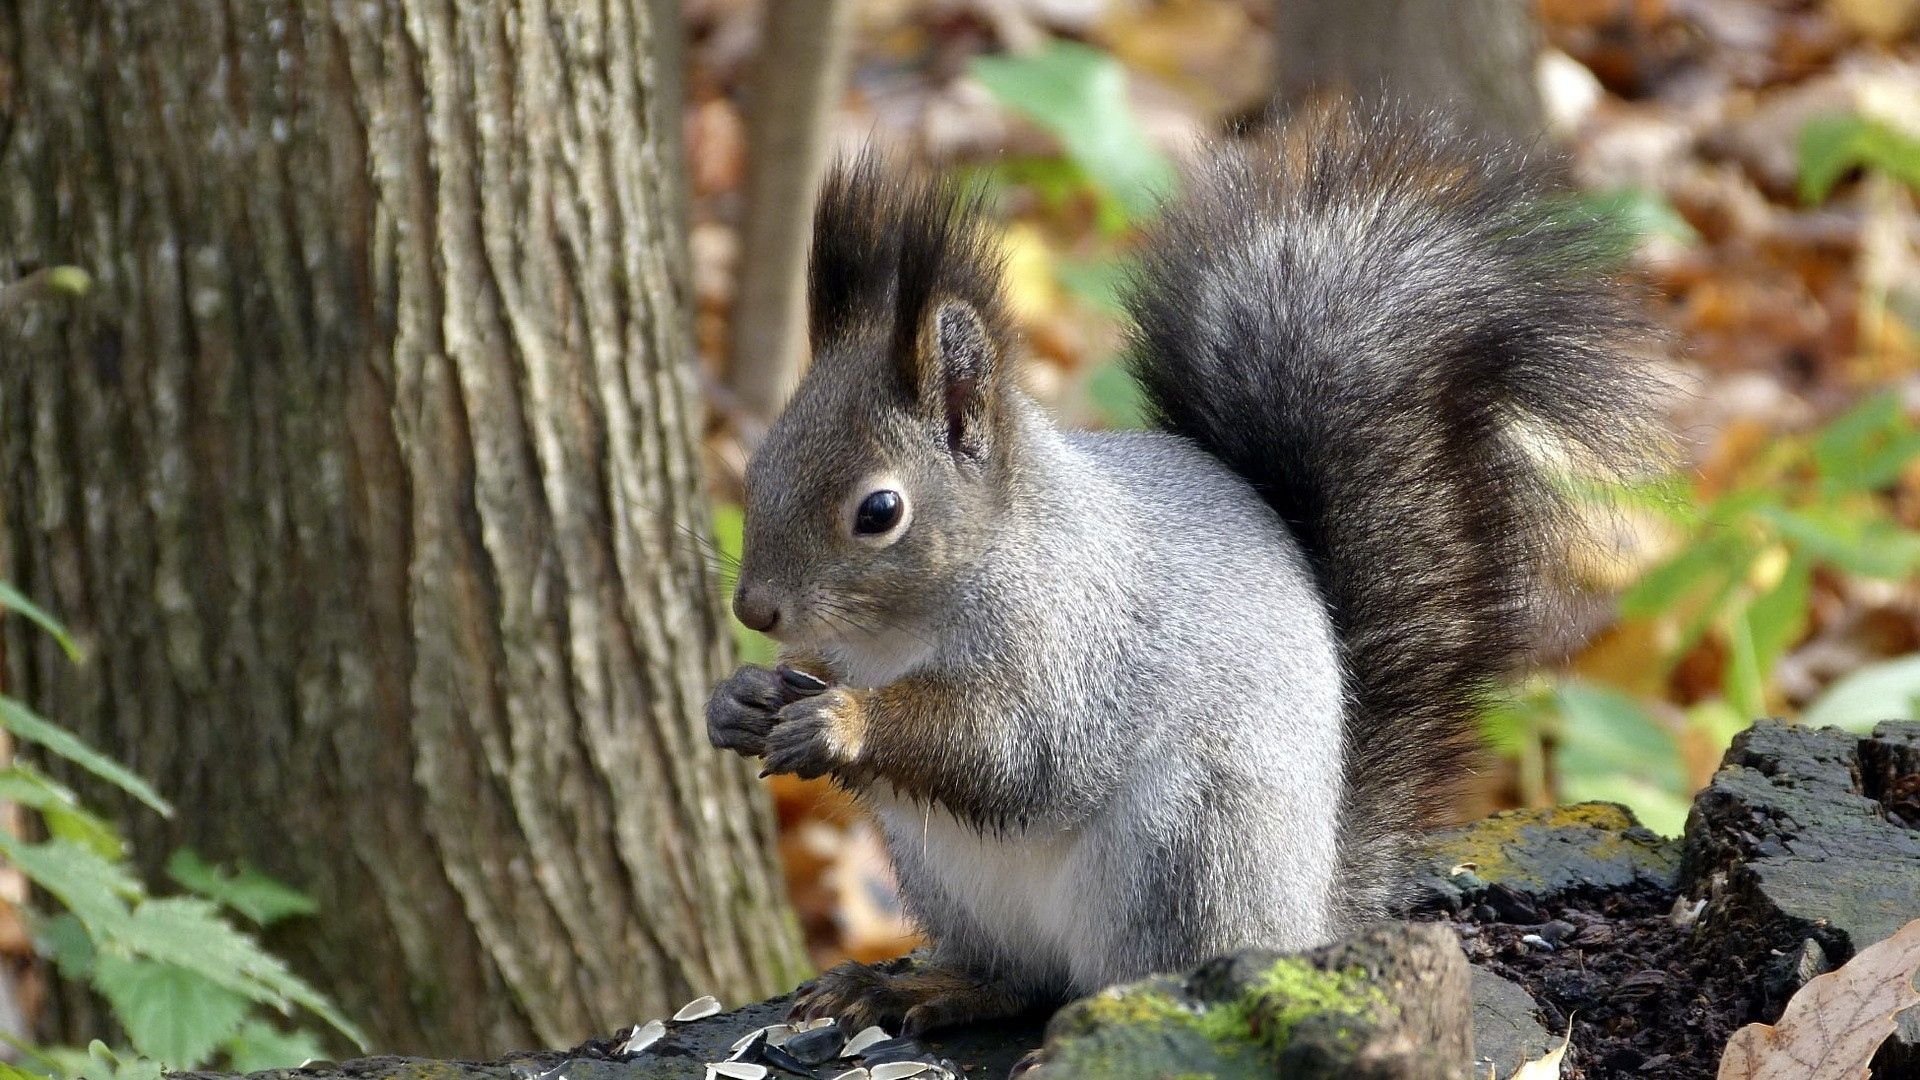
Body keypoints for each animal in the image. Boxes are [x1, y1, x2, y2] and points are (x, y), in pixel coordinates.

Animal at [706, 103, 1657, 1037]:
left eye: (879, 512)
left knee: (1140, 977)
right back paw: (921, 989)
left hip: (1185, 852)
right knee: (1016, 979)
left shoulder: (1075, 642)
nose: (755, 611)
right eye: (761, 465)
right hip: (950, 878)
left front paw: (843, 720)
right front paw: (742, 699)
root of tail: (1307, 914)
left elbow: (1015, 747)